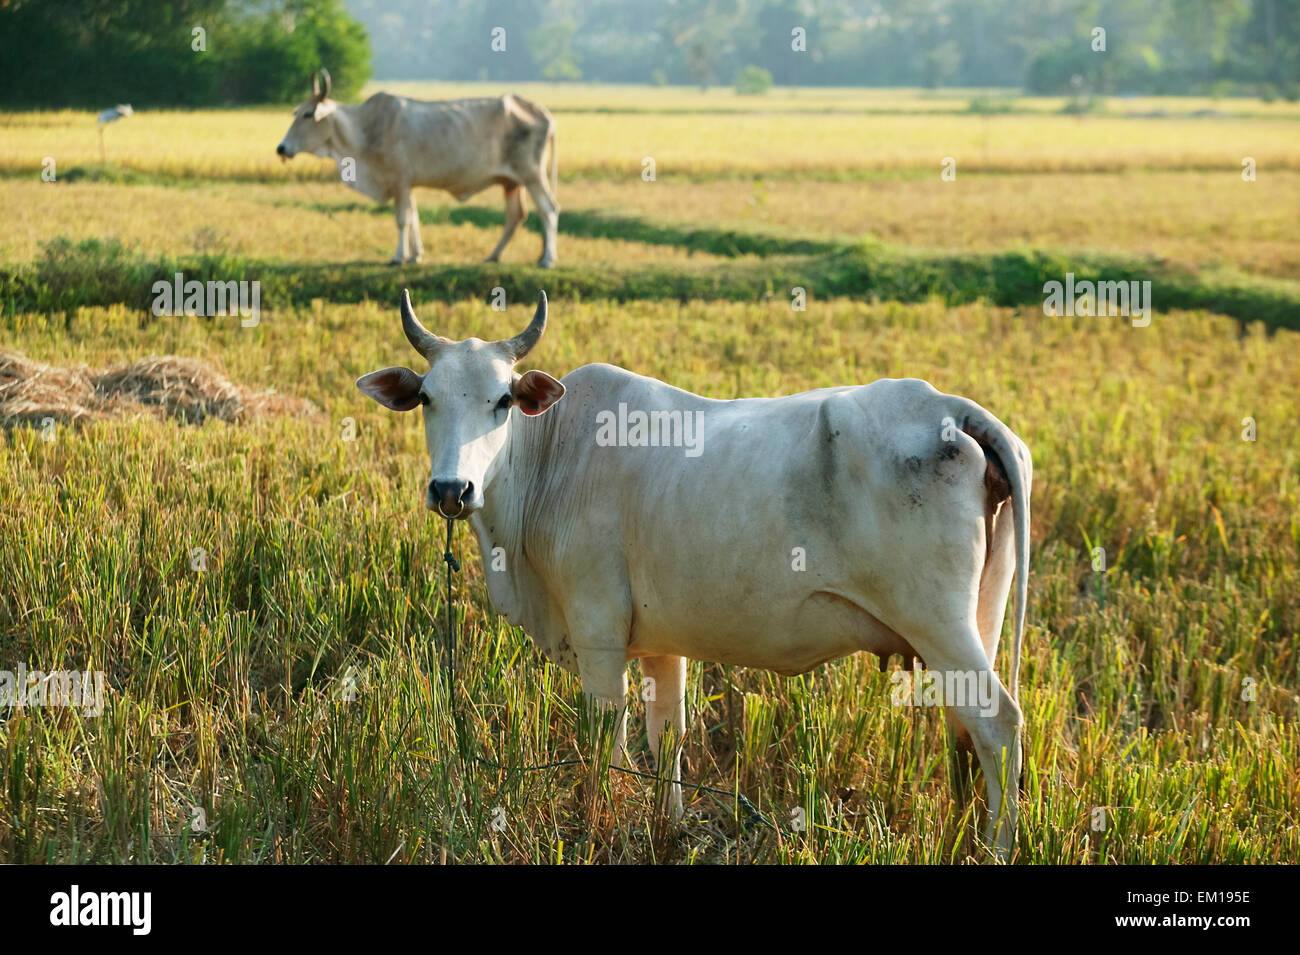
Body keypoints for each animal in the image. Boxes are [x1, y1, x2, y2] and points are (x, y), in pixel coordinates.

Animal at [277, 68, 559, 268]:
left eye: (308, 114)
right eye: (296, 112)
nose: (282, 148)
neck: (364, 130)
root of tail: (543, 113)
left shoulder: (400, 180)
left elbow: (403, 220)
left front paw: (398, 257)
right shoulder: (407, 184)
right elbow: (414, 217)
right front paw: (416, 255)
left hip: (532, 175)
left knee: (548, 209)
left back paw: (547, 259)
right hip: (512, 182)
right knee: (516, 216)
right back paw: (494, 256)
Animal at [357, 290, 1033, 858]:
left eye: (502, 401)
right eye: (426, 398)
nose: (452, 488)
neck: (552, 455)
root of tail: (950, 408)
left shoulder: (597, 633)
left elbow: (606, 738)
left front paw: (598, 826)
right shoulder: (663, 647)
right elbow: (669, 738)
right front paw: (670, 827)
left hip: (936, 622)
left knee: (998, 723)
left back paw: (997, 848)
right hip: (978, 617)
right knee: (965, 733)